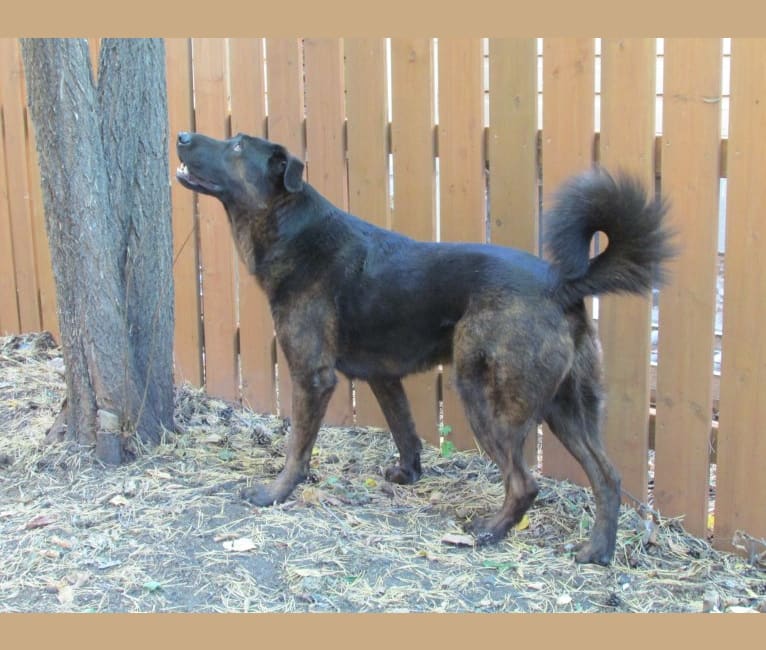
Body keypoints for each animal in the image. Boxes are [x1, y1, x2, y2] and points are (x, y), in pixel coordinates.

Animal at [177, 130, 676, 560]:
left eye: (237, 146)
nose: (181, 136)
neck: (293, 229)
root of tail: (561, 286)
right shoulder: (384, 377)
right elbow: (405, 430)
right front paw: (409, 475)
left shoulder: (312, 377)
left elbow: (297, 446)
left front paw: (275, 493)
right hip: (566, 407)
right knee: (607, 476)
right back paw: (598, 552)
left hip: (485, 396)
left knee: (524, 483)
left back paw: (490, 531)